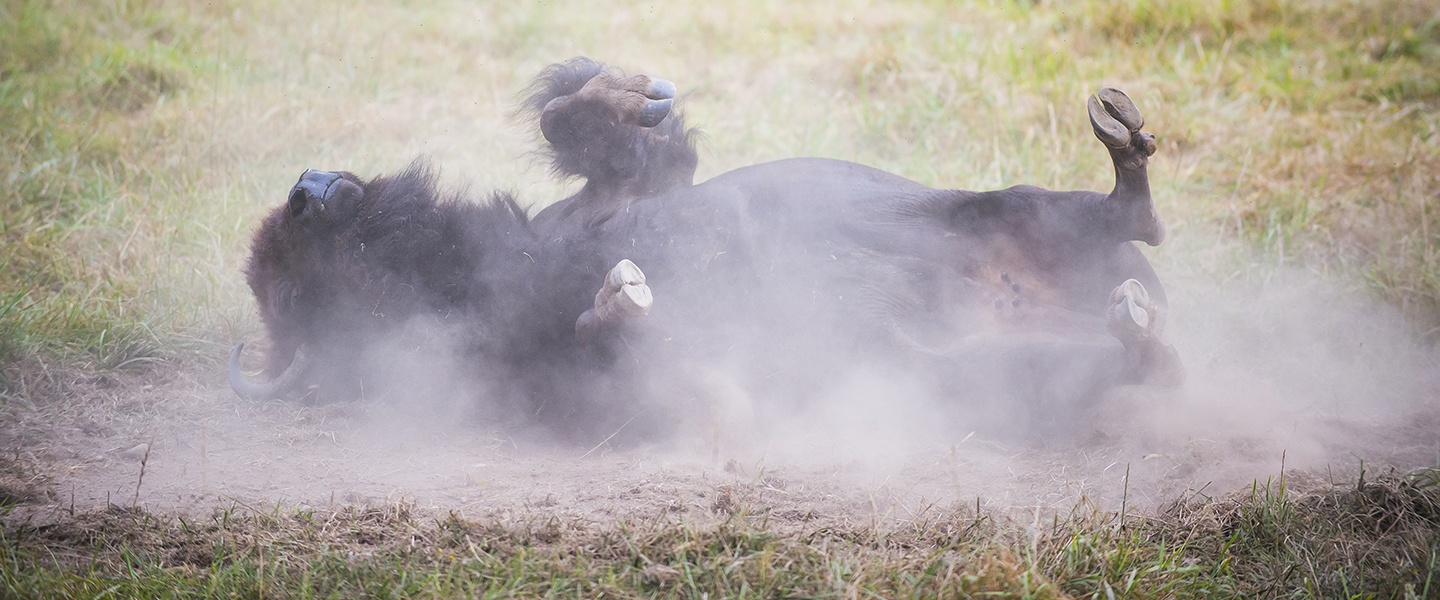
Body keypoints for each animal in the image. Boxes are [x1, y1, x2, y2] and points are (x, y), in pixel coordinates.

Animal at [230, 58, 1182, 442]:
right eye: (289, 299)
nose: (308, 187)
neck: (461, 279)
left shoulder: (614, 199)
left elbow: (588, 133)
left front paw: (622, 93)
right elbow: (651, 375)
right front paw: (620, 306)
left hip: (1017, 209)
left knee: (1125, 221)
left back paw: (1123, 143)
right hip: (990, 374)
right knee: (1127, 360)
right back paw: (1135, 325)